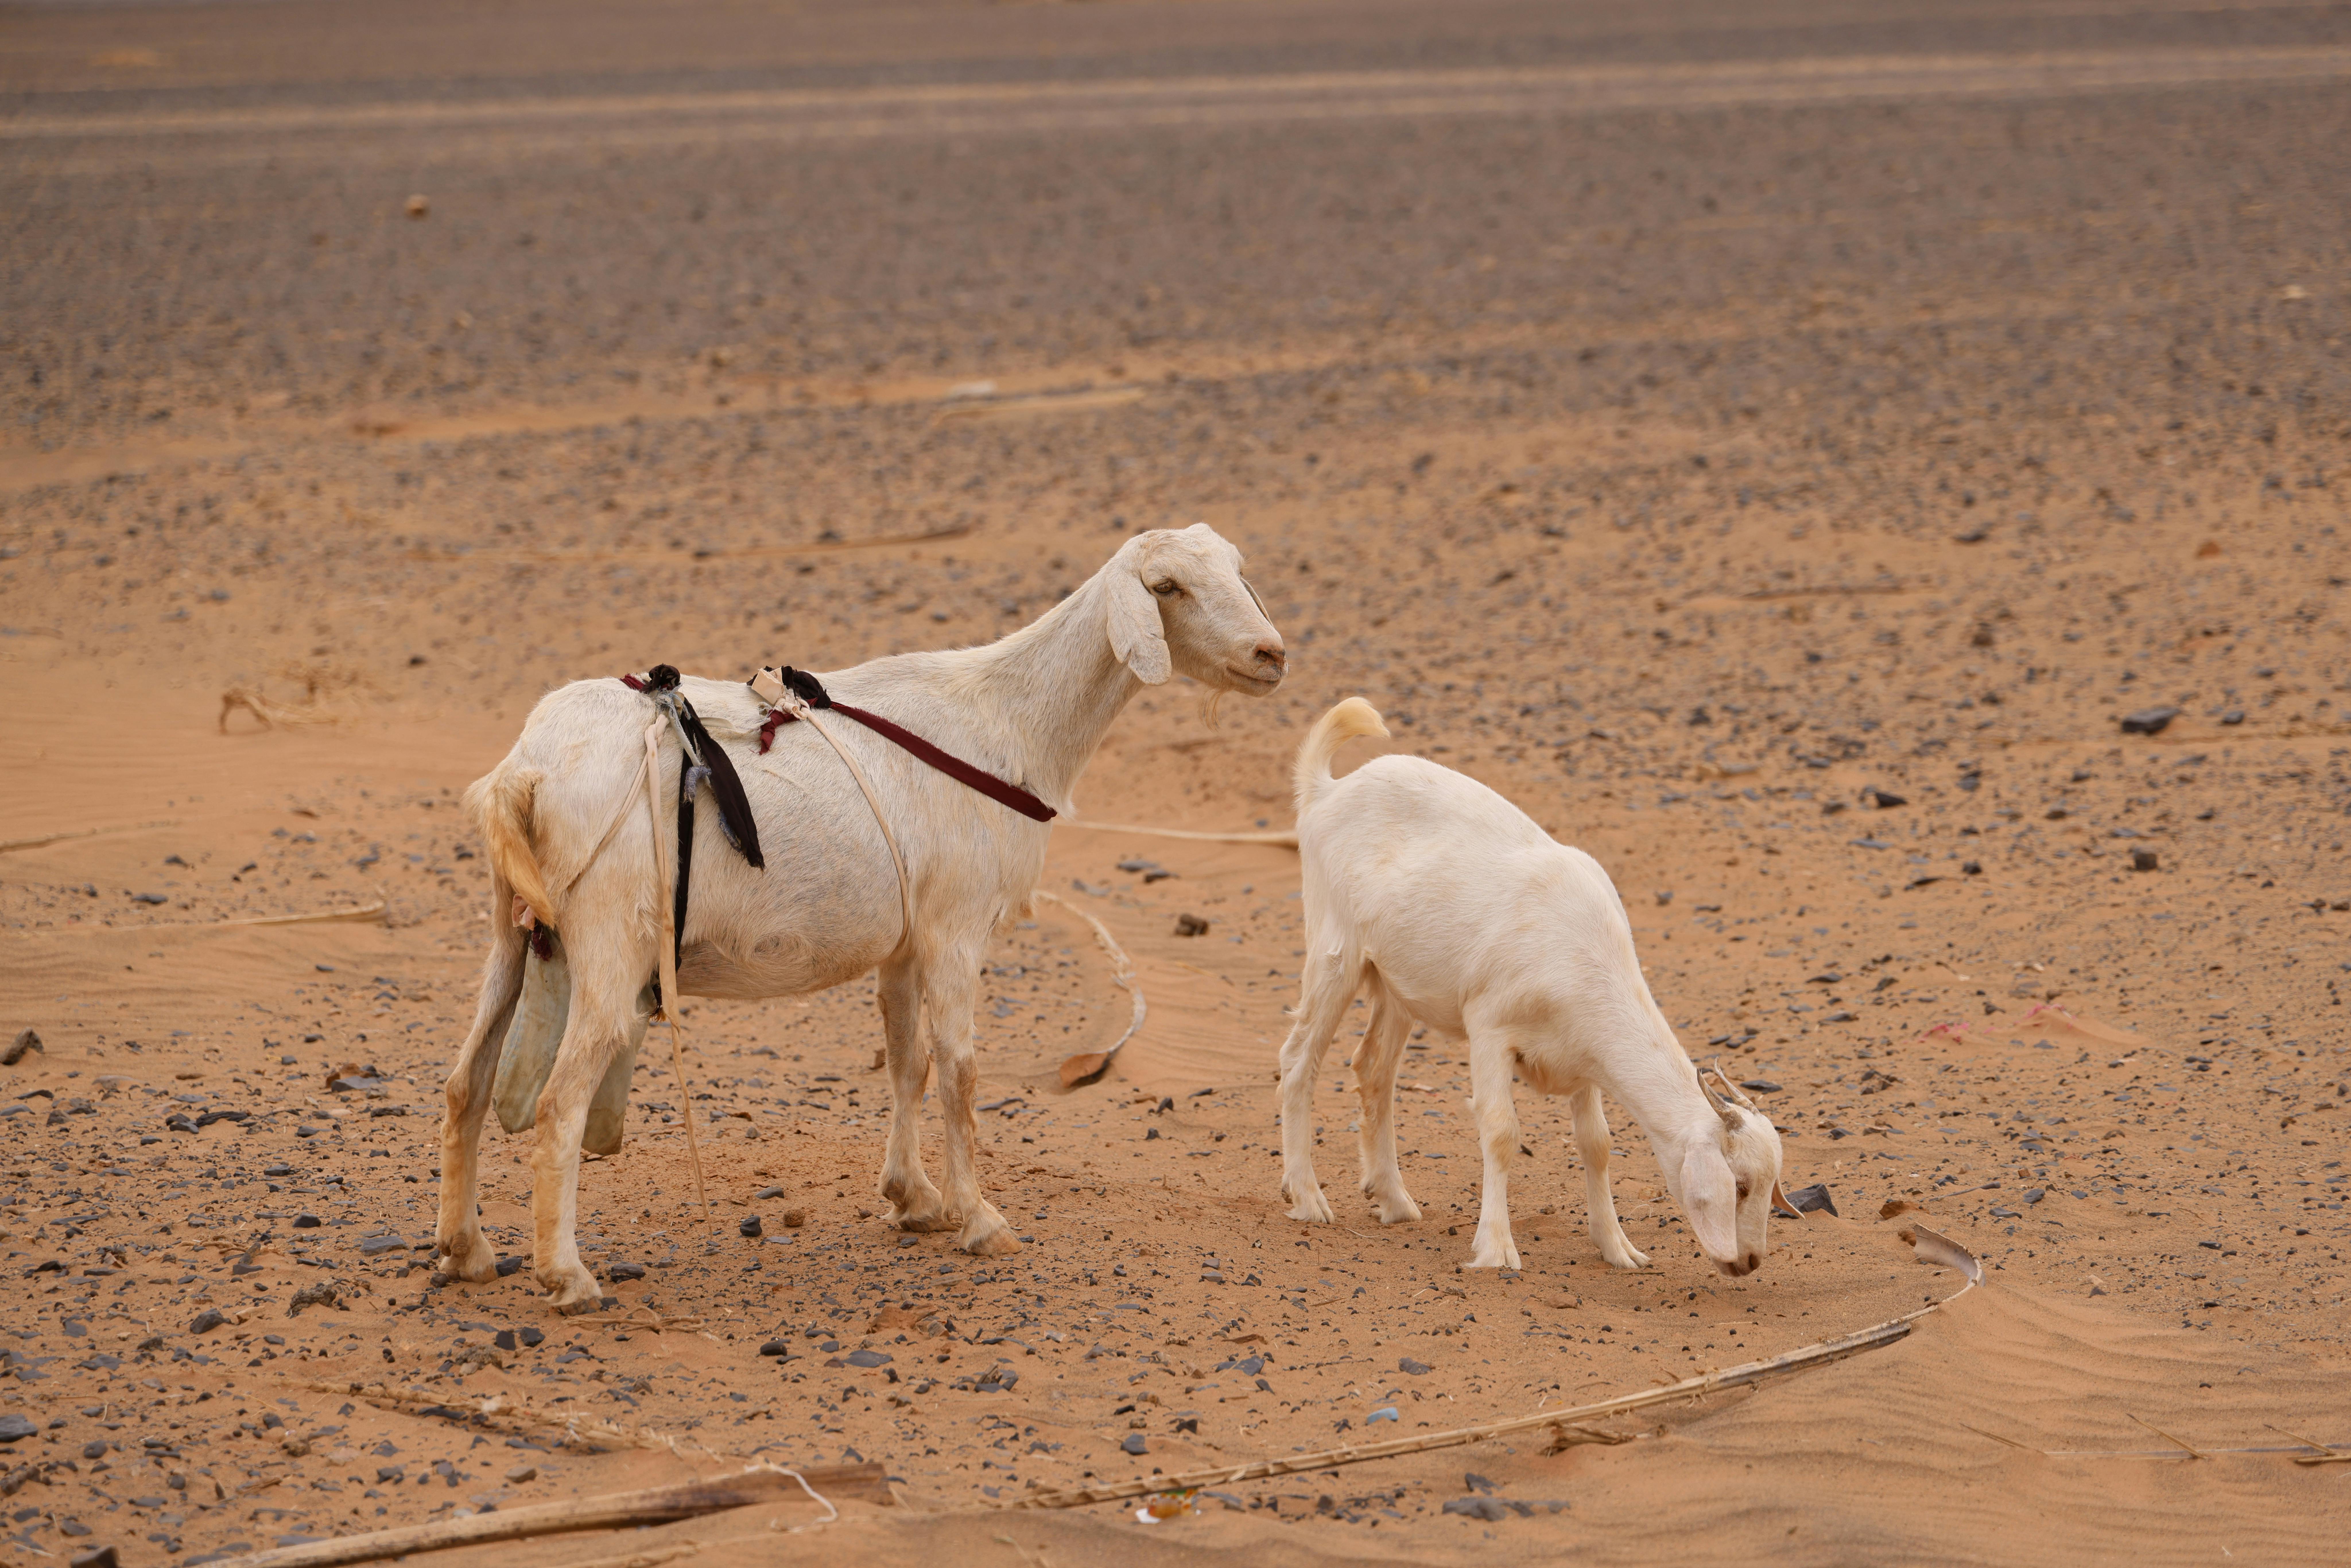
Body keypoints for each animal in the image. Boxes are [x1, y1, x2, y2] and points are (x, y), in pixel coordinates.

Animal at [437, 525, 1285, 1311]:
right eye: (1167, 587)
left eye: (1240, 569)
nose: (1271, 654)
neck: (1003, 720)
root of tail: (526, 771)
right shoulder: (955, 929)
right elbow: (961, 1072)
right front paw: (981, 1219)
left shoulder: (904, 943)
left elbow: (908, 1063)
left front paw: (915, 1200)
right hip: (612, 944)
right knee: (558, 1102)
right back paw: (567, 1275)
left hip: (510, 933)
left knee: (466, 1082)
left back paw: (465, 1249)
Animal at [1273, 698, 1784, 1277]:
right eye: (1738, 1185)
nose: (1748, 1261)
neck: (1582, 949)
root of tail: (1326, 790)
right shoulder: (1490, 1028)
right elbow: (1500, 1132)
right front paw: (1495, 1248)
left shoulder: (1585, 1058)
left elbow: (1596, 1143)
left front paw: (1617, 1247)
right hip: (1334, 950)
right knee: (1299, 1059)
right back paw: (1308, 1198)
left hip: (1398, 984)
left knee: (1373, 1070)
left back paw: (1394, 1200)